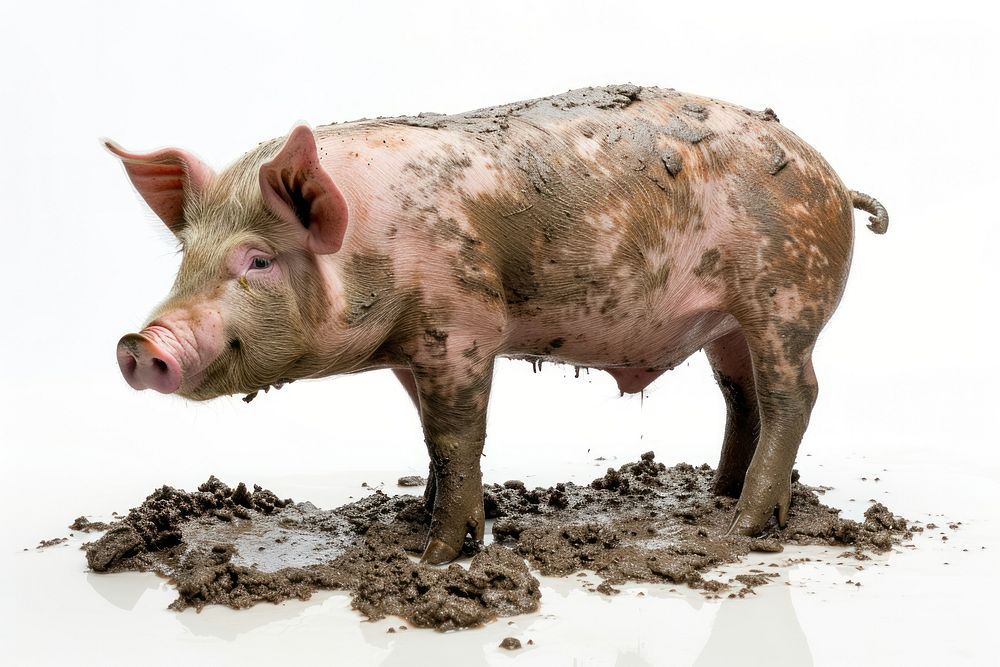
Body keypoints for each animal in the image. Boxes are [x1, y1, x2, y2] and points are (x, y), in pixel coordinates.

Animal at [108, 84, 888, 564]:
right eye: (186, 254)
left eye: (258, 259)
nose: (138, 343)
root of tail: (837, 182)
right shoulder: (410, 351)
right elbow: (428, 436)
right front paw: (415, 517)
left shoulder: (463, 325)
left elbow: (455, 435)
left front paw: (436, 556)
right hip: (728, 321)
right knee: (741, 396)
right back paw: (717, 496)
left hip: (784, 293)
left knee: (794, 393)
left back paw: (742, 526)